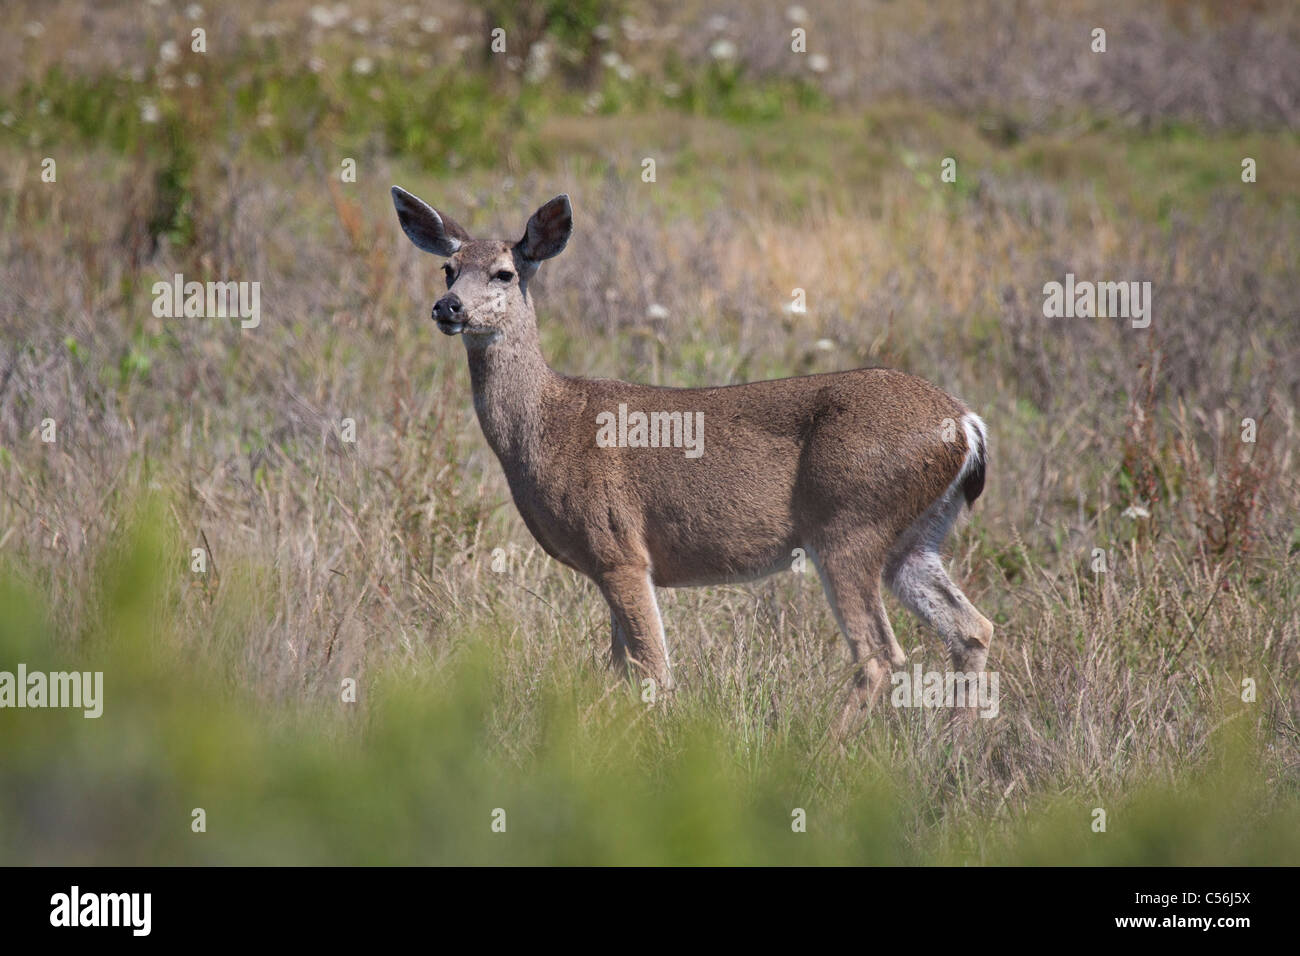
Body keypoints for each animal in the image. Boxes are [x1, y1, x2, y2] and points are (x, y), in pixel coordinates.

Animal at [391, 185, 994, 726]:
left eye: (504, 273)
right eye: (448, 269)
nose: (447, 307)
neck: (546, 426)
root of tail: (966, 425)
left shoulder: (617, 548)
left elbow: (654, 670)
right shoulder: (610, 563)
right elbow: (623, 671)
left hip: (850, 521)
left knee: (878, 654)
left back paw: (824, 750)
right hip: (916, 537)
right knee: (971, 628)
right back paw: (954, 750)